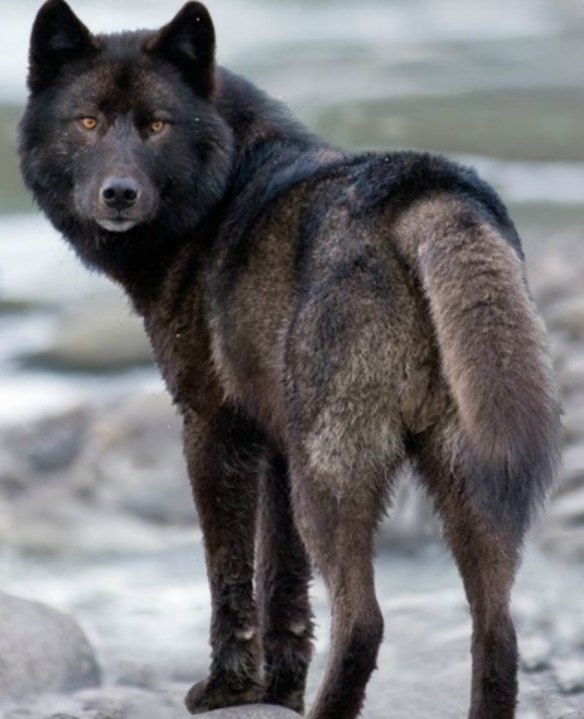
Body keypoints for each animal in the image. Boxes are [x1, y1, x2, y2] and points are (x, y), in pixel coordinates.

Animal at [18, 2, 561, 717]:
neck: (222, 192)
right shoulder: (276, 446)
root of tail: (427, 189)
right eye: (87, 122)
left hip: (330, 477)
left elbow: (230, 573)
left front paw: (227, 688)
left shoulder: (213, 427)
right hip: (463, 481)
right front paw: (278, 692)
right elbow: (284, 584)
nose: (119, 193)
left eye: (157, 125)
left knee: (364, 620)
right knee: (497, 630)